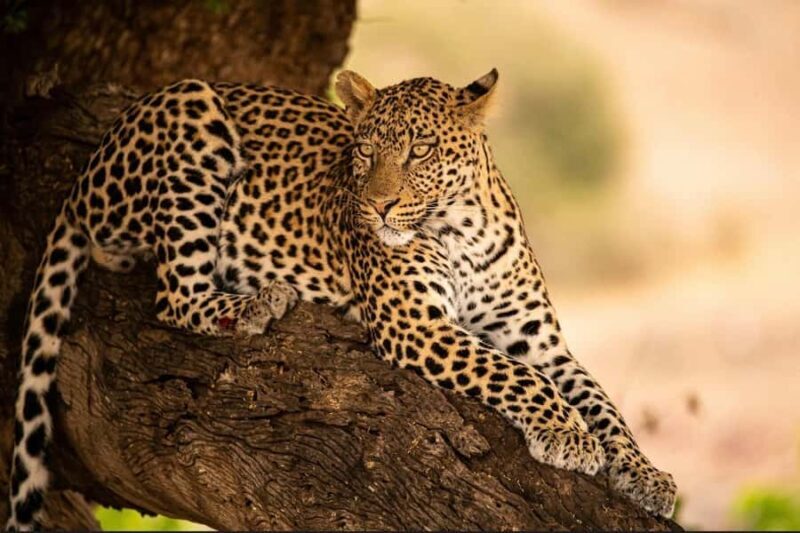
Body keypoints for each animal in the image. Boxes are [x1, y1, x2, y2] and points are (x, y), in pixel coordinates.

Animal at [5, 69, 676, 530]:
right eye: (365, 151)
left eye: (421, 151)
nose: (377, 207)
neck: (465, 227)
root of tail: (87, 169)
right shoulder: (417, 326)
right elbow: (513, 374)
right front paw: (566, 433)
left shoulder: (544, 343)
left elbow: (602, 401)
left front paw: (646, 475)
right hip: (189, 109)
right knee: (172, 293)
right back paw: (257, 303)